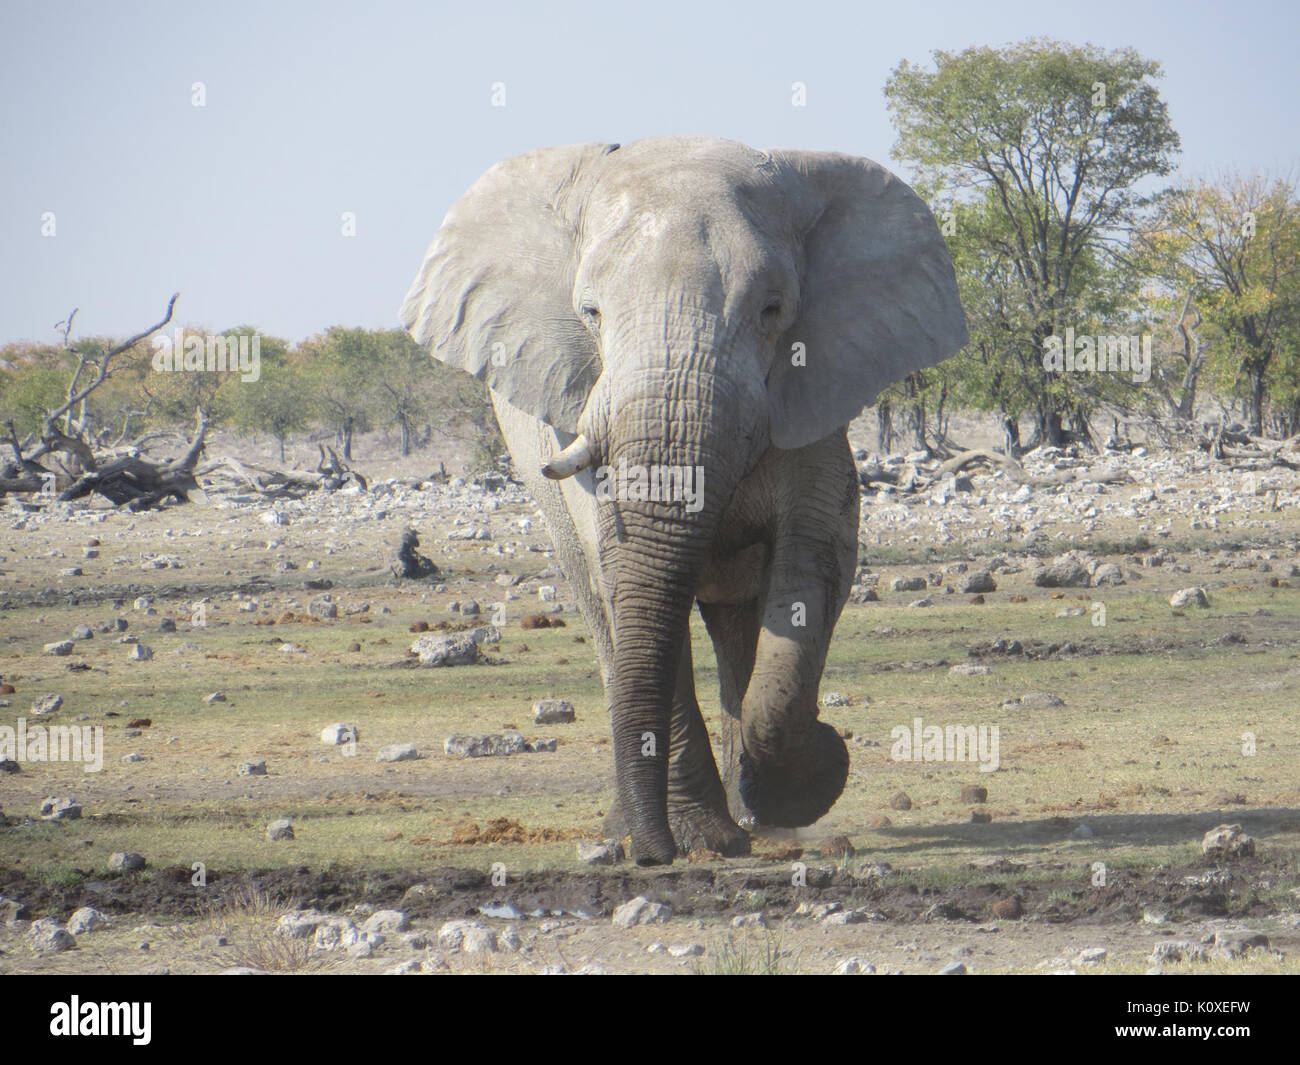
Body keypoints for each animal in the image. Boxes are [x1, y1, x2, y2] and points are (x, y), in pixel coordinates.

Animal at [400, 136, 967, 866]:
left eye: (772, 310)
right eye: (591, 313)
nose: (652, 856)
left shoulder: (815, 394)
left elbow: (816, 559)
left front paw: (804, 782)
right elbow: (627, 579)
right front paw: (705, 839)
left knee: (738, 623)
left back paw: (756, 816)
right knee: (605, 614)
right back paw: (654, 826)